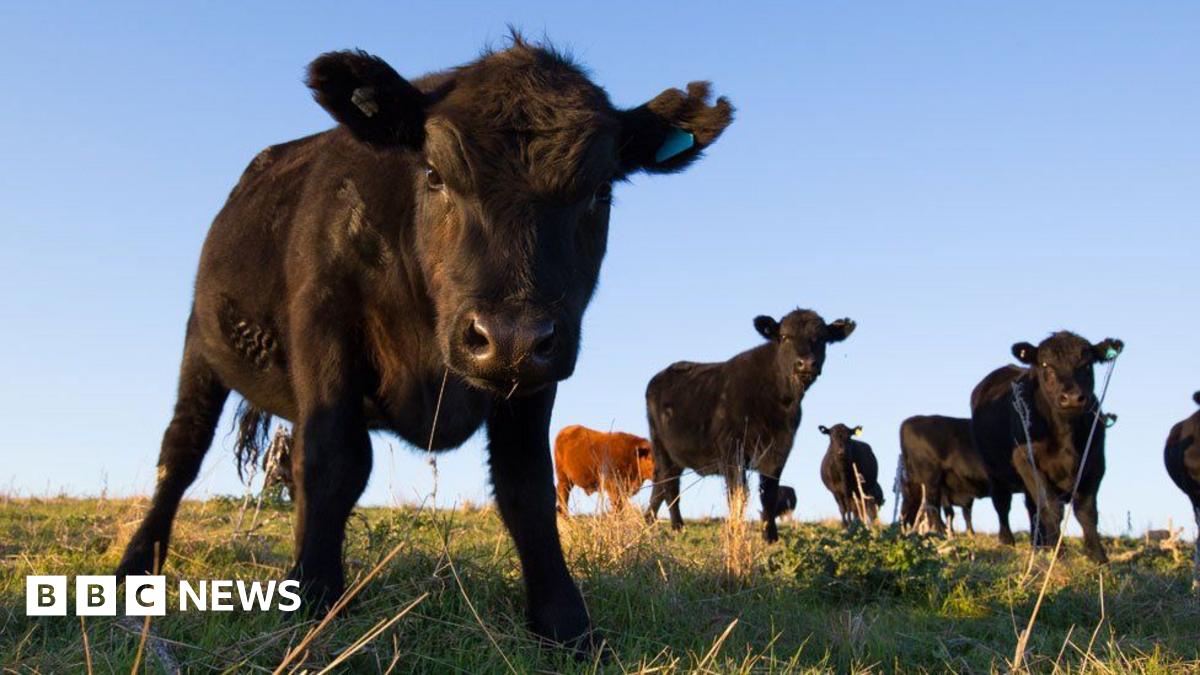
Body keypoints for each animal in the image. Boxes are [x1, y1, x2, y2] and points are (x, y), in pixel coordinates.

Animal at [113, 37, 733, 648]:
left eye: (601, 190)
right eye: (435, 174)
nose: (507, 336)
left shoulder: (538, 370)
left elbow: (526, 484)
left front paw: (564, 620)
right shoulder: (324, 321)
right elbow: (333, 459)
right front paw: (313, 596)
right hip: (201, 345)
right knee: (182, 451)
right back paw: (137, 565)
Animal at [645, 309, 855, 541]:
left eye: (822, 338)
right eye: (784, 336)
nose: (806, 363)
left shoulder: (779, 450)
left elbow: (769, 494)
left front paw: (770, 536)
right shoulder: (731, 451)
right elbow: (738, 494)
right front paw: (735, 531)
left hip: (674, 456)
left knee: (659, 484)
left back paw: (649, 521)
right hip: (661, 445)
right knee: (670, 485)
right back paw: (677, 527)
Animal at [969, 331, 1122, 563]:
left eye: (1087, 364)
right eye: (1045, 365)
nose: (1072, 398)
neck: (1066, 432)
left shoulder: (1095, 463)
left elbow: (1086, 511)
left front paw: (1098, 556)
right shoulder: (1026, 460)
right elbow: (1051, 507)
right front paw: (1060, 554)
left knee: (1032, 508)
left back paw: (1038, 545)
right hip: (994, 472)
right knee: (1003, 504)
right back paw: (1008, 542)